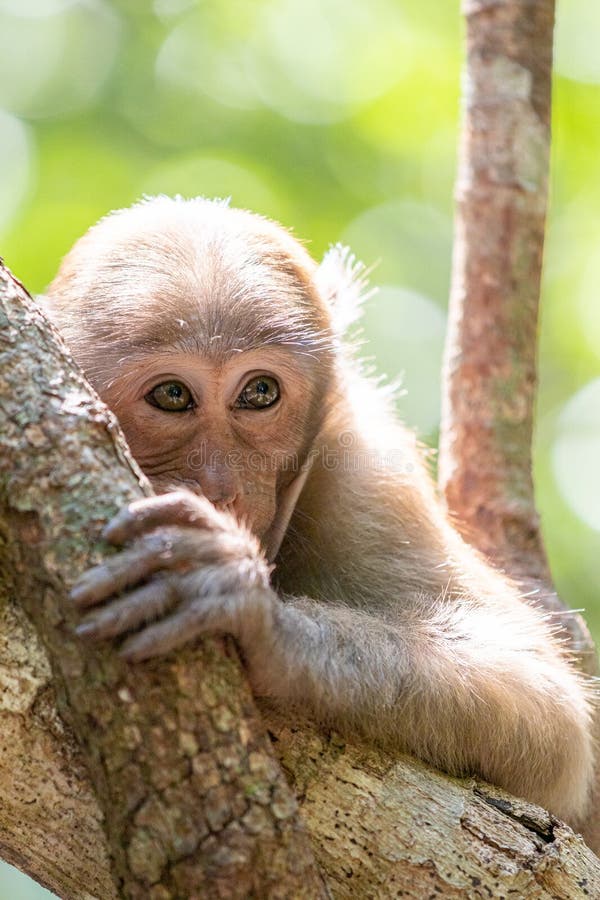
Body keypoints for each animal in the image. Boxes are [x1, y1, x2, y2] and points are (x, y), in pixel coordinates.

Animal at [43, 195, 595, 835]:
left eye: (258, 393)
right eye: (173, 396)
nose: (223, 488)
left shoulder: (366, 479)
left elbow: (551, 717)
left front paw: (256, 616)